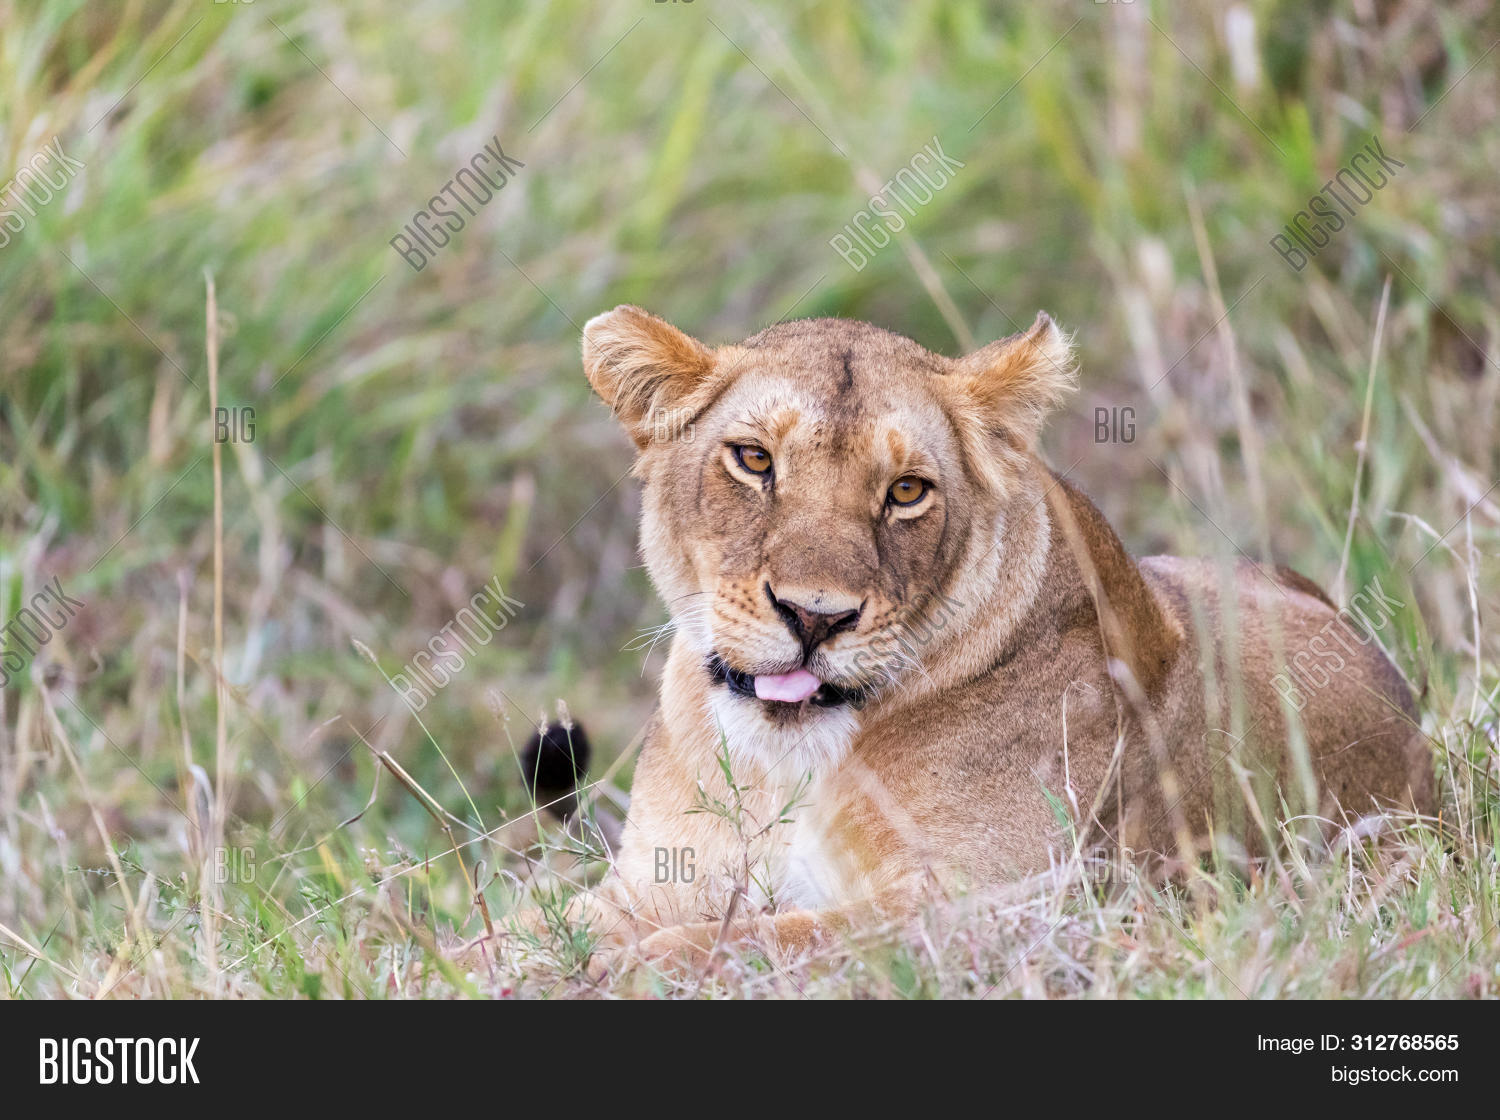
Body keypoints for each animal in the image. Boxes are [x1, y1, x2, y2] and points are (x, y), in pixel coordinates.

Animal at [528, 305, 1434, 972]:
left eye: (906, 492)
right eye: (753, 460)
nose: (815, 617)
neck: (787, 769)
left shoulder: (1001, 904)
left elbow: (777, 936)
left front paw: (629, 967)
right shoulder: (649, 882)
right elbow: (537, 923)